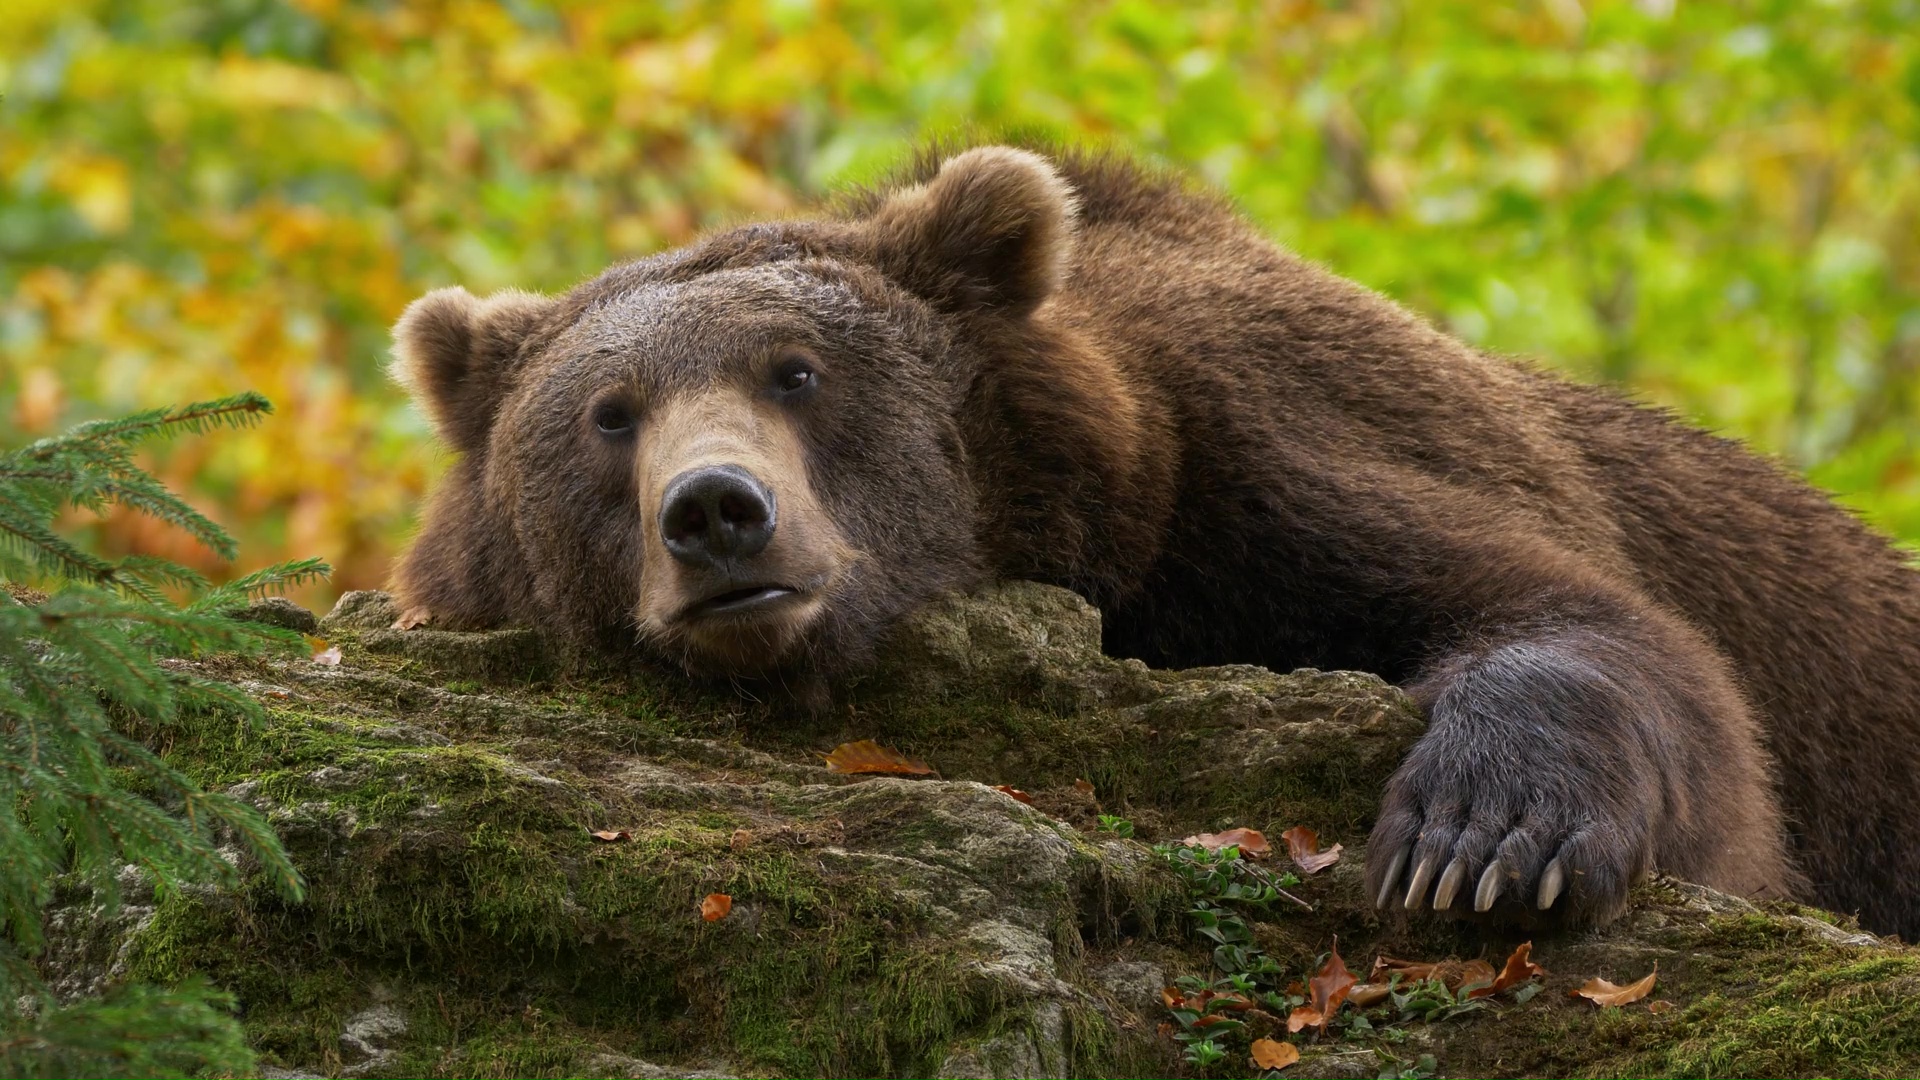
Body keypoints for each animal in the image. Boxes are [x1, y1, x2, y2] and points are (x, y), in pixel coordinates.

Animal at [388, 143, 1920, 939]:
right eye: (609, 414)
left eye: (796, 370)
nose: (715, 511)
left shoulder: (1257, 474)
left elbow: (1577, 618)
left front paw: (1480, 840)